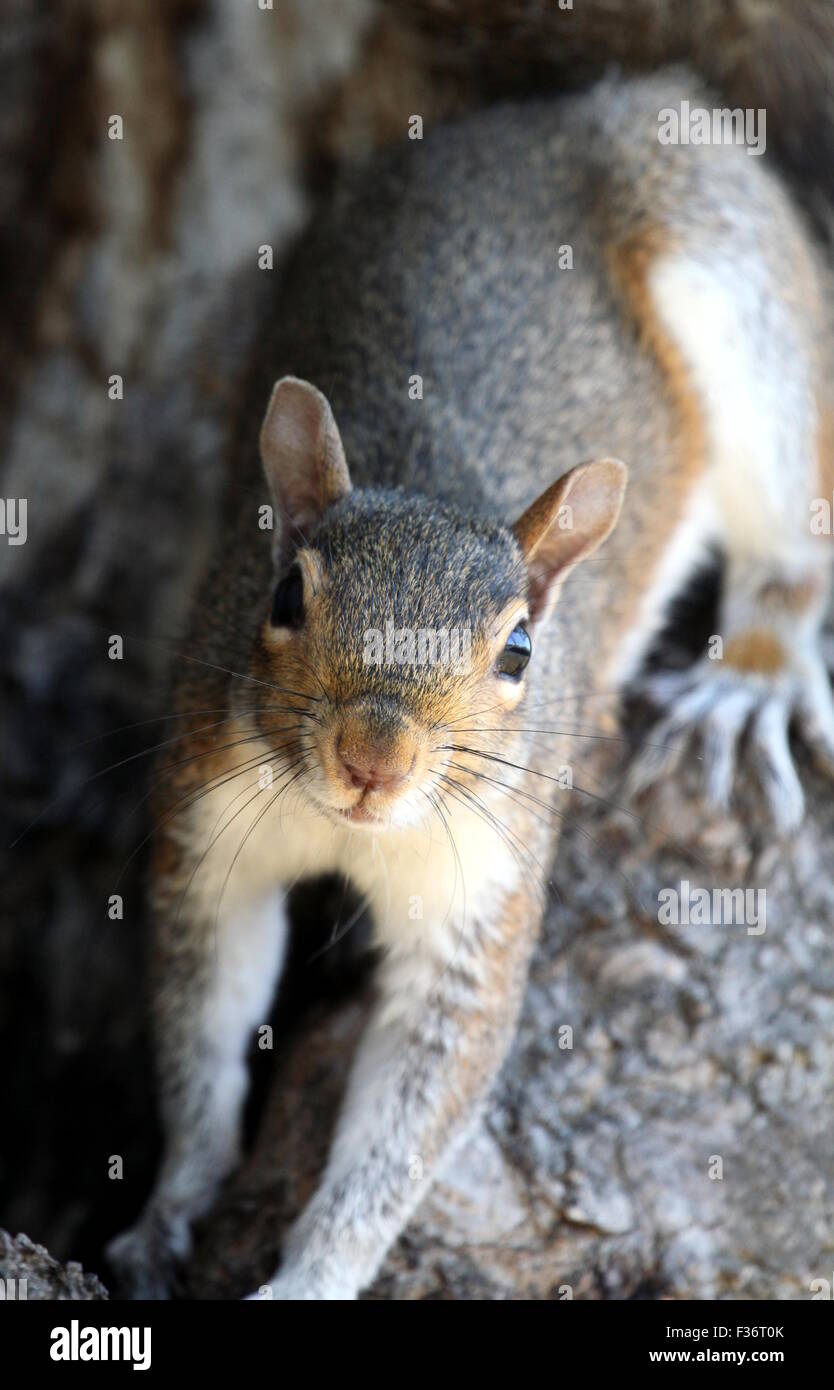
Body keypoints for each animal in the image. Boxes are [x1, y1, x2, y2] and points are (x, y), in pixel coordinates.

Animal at [106, 67, 834, 1298]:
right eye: (283, 595)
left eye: (520, 652)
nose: (374, 759)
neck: (355, 830)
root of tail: (563, 113)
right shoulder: (211, 820)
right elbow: (205, 1012)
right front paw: (175, 1198)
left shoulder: (484, 890)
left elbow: (416, 1102)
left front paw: (311, 1277)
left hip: (737, 284)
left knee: (790, 530)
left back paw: (755, 686)